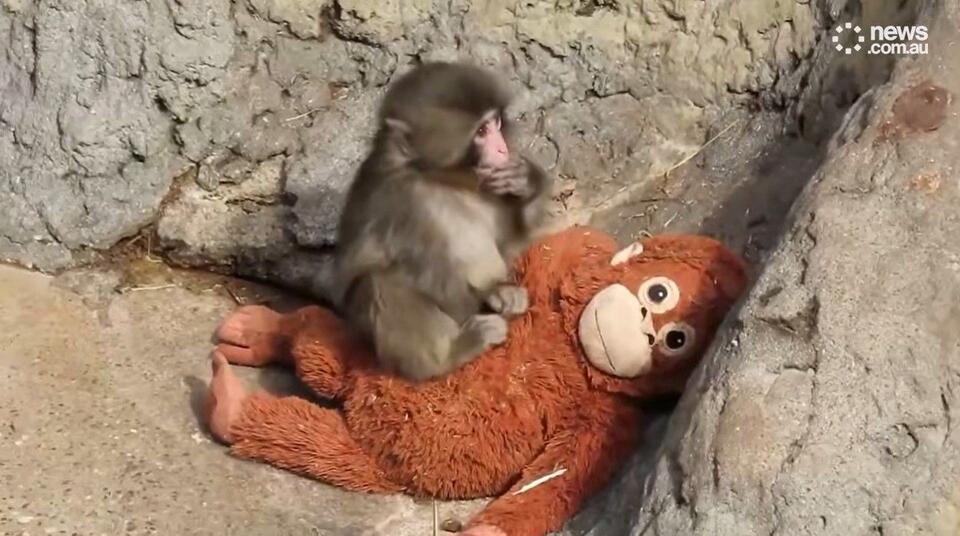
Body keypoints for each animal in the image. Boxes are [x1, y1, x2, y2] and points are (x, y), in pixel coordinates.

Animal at [332, 61, 554, 382]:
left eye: (496, 123)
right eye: (481, 131)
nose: (503, 150)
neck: (442, 180)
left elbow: (510, 238)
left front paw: (528, 182)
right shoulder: (405, 203)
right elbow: (439, 281)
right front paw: (492, 294)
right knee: (380, 282)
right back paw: (450, 355)